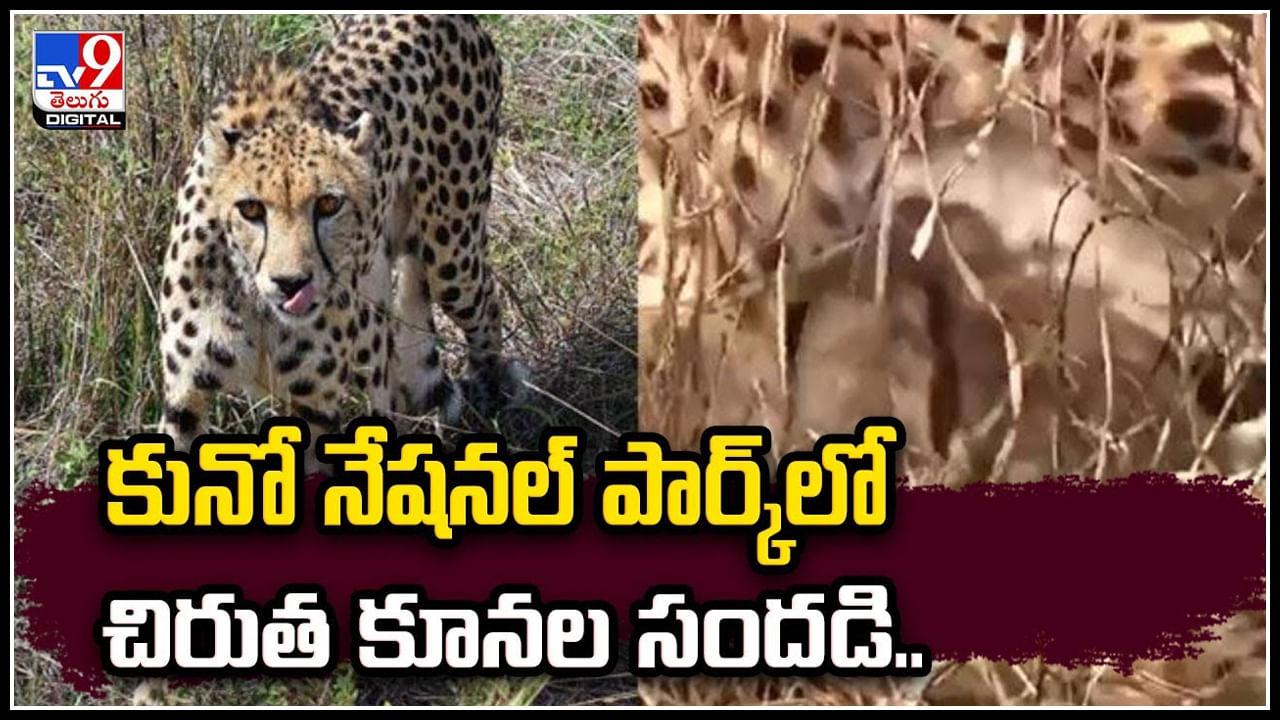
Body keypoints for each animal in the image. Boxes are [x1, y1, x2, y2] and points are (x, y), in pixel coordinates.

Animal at [158, 14, 522, 462]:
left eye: (329, 204)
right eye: (251, 209)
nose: (291, 283)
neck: (257, 304)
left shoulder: (318, 406)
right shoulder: (185, 398)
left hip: (451, 257)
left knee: (484, 304)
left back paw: (489, 397)